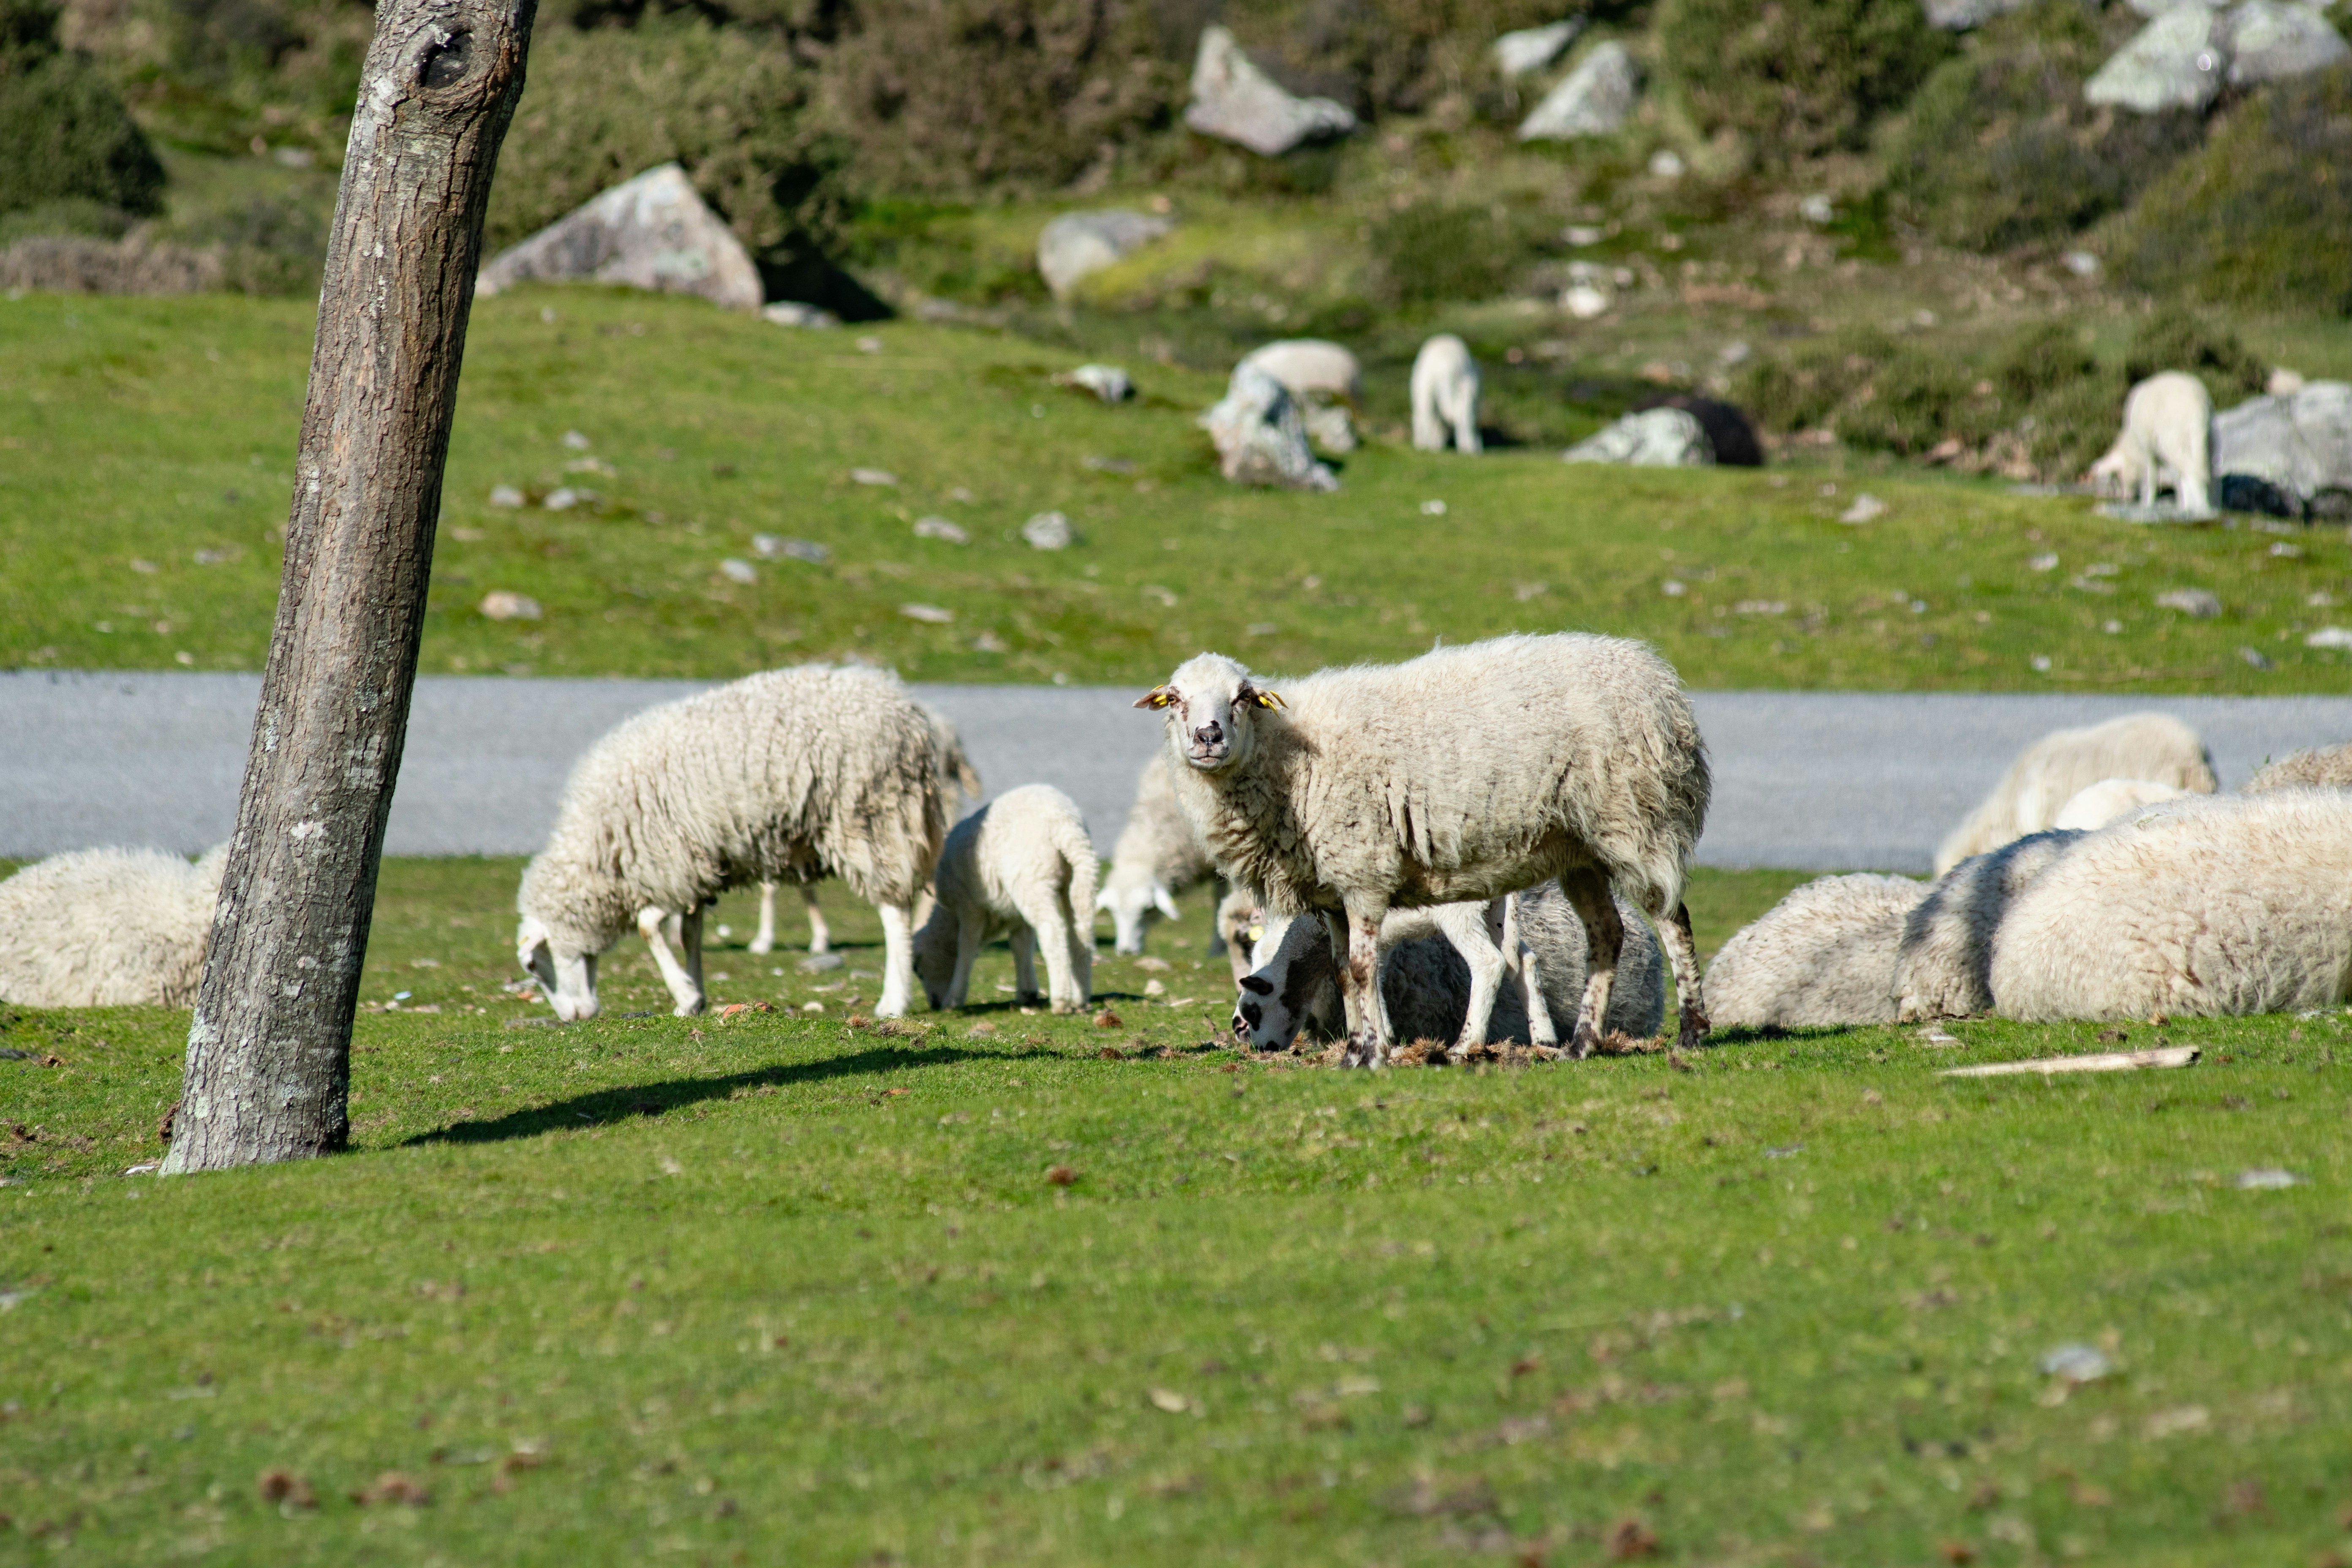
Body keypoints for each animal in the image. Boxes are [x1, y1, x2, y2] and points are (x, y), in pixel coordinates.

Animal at [516, 664, 955, 1021]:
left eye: (533, 966)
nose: (573, 1017)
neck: (600, 852)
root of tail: (910, 713)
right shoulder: (693, 869)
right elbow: (689, 932)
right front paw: (694, 998)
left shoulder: (668, 862)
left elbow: (647, 926)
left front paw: (684, 994)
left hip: (870, 816)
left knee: (894, 911)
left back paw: (893, 1001)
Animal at [912, 784, 1098, 1013]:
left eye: (918, 970)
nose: (935, 1005)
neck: (949, 917)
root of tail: (1066, 826)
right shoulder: (1016, 914)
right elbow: (1021, 945)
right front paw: (1027, 993)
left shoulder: (969, 905)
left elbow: (967, 947)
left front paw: (954, 1000)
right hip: (1079, 877)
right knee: (1081, 931)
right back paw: (1081, 999)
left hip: (1032, 879)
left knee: (1053, 930)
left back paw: (1061, 1001)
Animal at [1233, 884, 1663, 1057]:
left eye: (1249, 1016)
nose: (1263, 1051)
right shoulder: (1382, 942)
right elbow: (1372, 980)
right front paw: (1385, 1034)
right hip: (1500, 915)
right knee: (1521, 962)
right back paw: (1543, 1037)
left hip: (1462, 915)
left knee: (1489, 963)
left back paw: (1466, 1044)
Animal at [2088, 371, 2213, 515]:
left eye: (2118, 477)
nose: (2126, 497)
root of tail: (2198, 406)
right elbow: (2176, 477)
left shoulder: (2148, 450)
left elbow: (2153, 476)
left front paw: (2149, 503)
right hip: (2206, 440)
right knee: (2206, 471)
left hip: (2173, 440)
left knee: (2193, 471)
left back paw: (2202, 506)